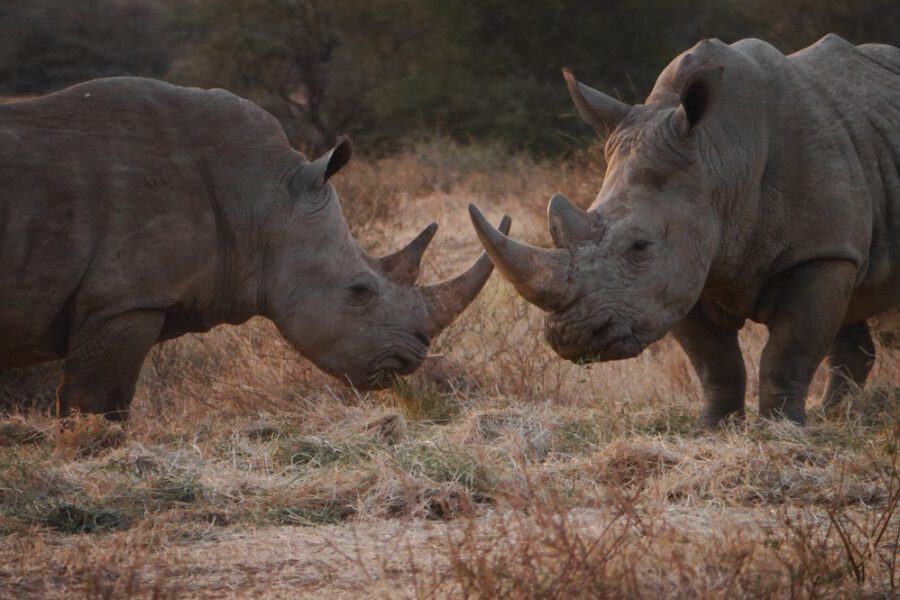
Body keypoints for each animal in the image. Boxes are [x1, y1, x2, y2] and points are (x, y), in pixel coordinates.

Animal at [0, 77, 509, 420]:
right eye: (359, 291)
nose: (410, 359)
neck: (262, 198)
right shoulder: (124, 302)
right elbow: (95, 407)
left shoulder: (128, 302)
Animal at [470, 34, 900, 426]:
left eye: (639, 245)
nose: (570, 337)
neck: (720, 156)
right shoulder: (680, 268)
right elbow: (715, 361)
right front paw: (715, 428)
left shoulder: (821, 250)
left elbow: (789, 350)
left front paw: (781, 429)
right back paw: (836, 415)